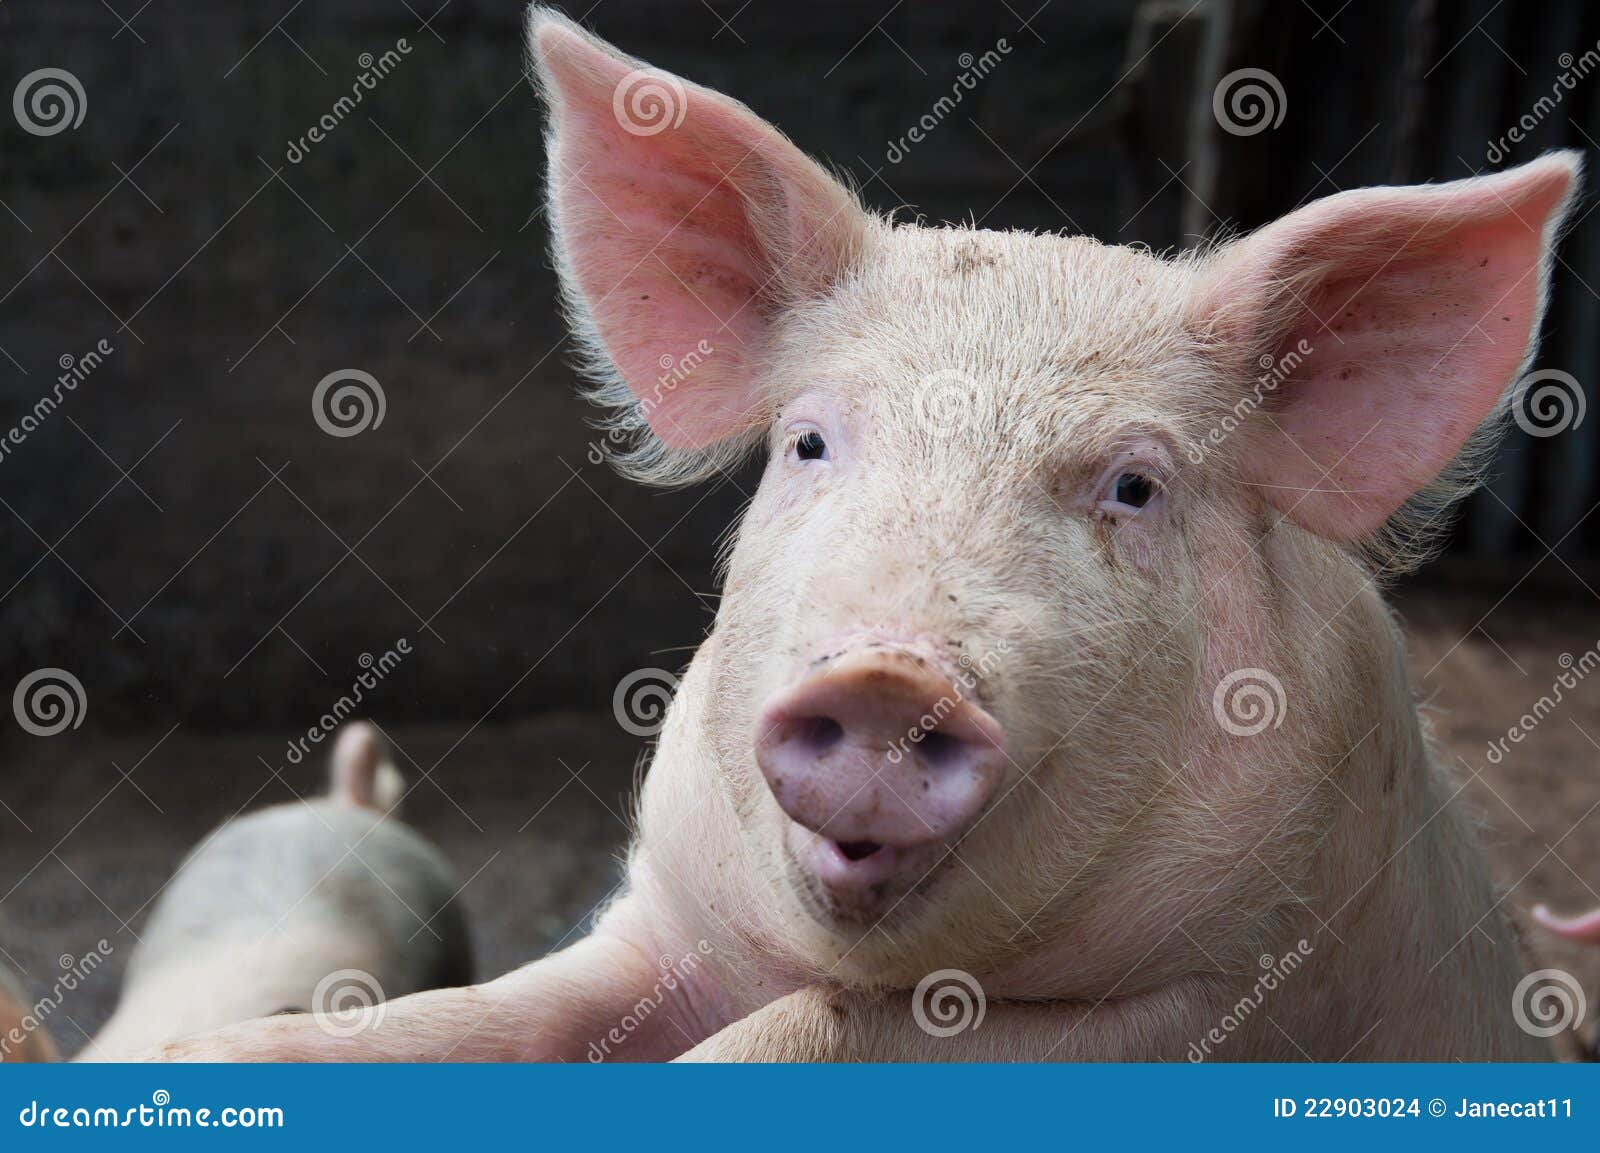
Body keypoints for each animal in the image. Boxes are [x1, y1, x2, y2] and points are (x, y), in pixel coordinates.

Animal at [144, 9, 1576, 1061]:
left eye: (1132, 487)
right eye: (809, 444)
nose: (890, 676)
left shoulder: (1209, 992)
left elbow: (792, 1036)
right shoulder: (662, 915)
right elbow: (487, 1015)